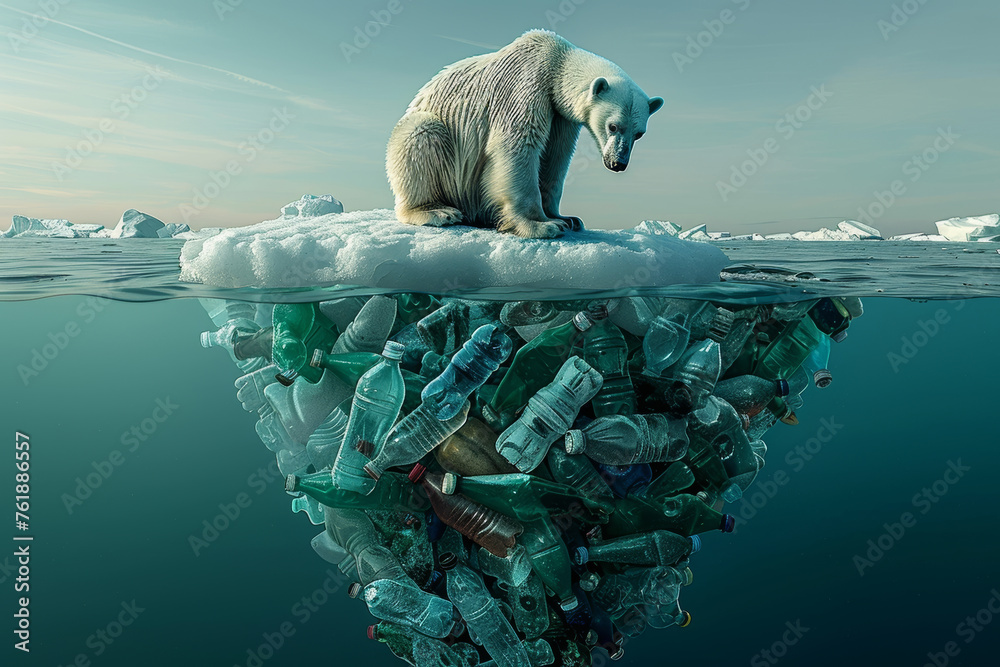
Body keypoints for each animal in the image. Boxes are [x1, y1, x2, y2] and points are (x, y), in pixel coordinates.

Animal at [386, 29, 664, 239]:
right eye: (613, 126)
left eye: (639, 134)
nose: (618, 163)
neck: (555, 62)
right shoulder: (525, 86)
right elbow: (517, 145)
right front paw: (542, 225)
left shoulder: (559, 116)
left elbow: (555, 158)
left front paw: (566, 218)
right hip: (432, 136)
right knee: (421, 133)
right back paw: (437, 211)